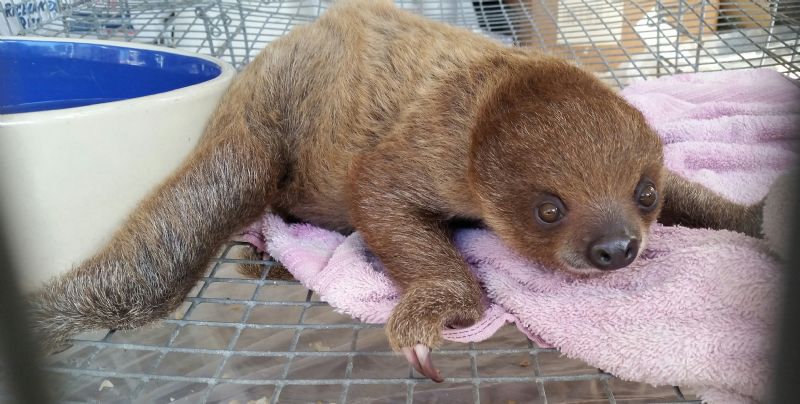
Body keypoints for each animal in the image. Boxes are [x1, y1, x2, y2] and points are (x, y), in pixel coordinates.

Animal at [27, 0, 763, 382]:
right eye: (550, 209)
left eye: (643, 194)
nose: (616, 246)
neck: (488, 88)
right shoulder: (435, 150)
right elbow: (376, 193)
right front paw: (440, 305)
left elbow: (695, 195)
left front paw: (754, 217)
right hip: (267, 109)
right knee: (211, 201)